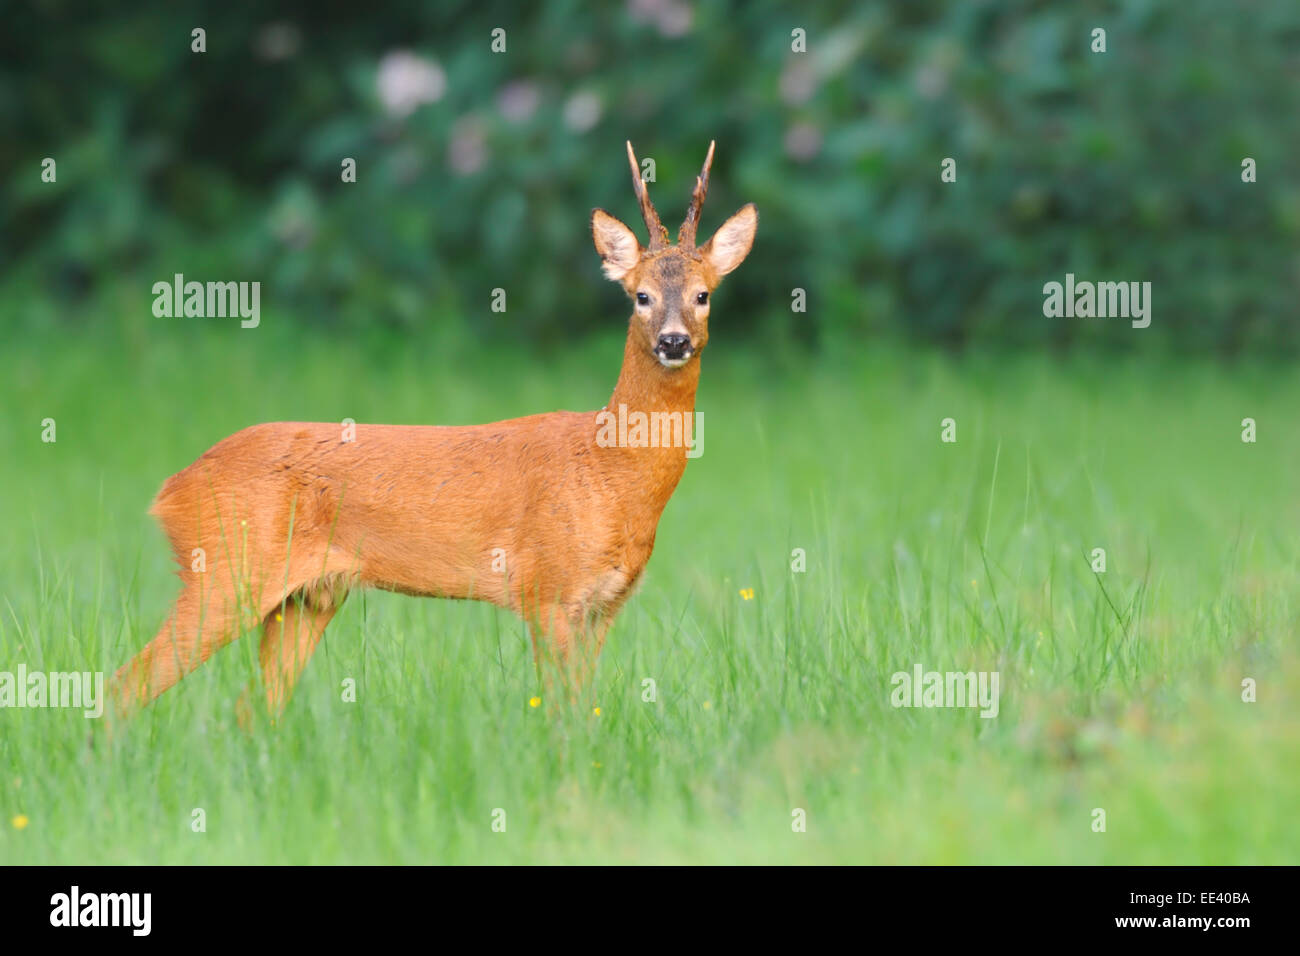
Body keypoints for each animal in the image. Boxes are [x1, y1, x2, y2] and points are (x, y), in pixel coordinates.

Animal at [110, 141, 757, 722]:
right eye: (640, 295)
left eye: (703, 295)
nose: (673, 341)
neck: (610, 469)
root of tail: (172, 487)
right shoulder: (546, 588)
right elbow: (560, 717)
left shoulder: (603, 605)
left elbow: (585, 711)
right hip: (225, 569)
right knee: (124, 687)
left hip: (308, 597)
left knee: (253, 707)